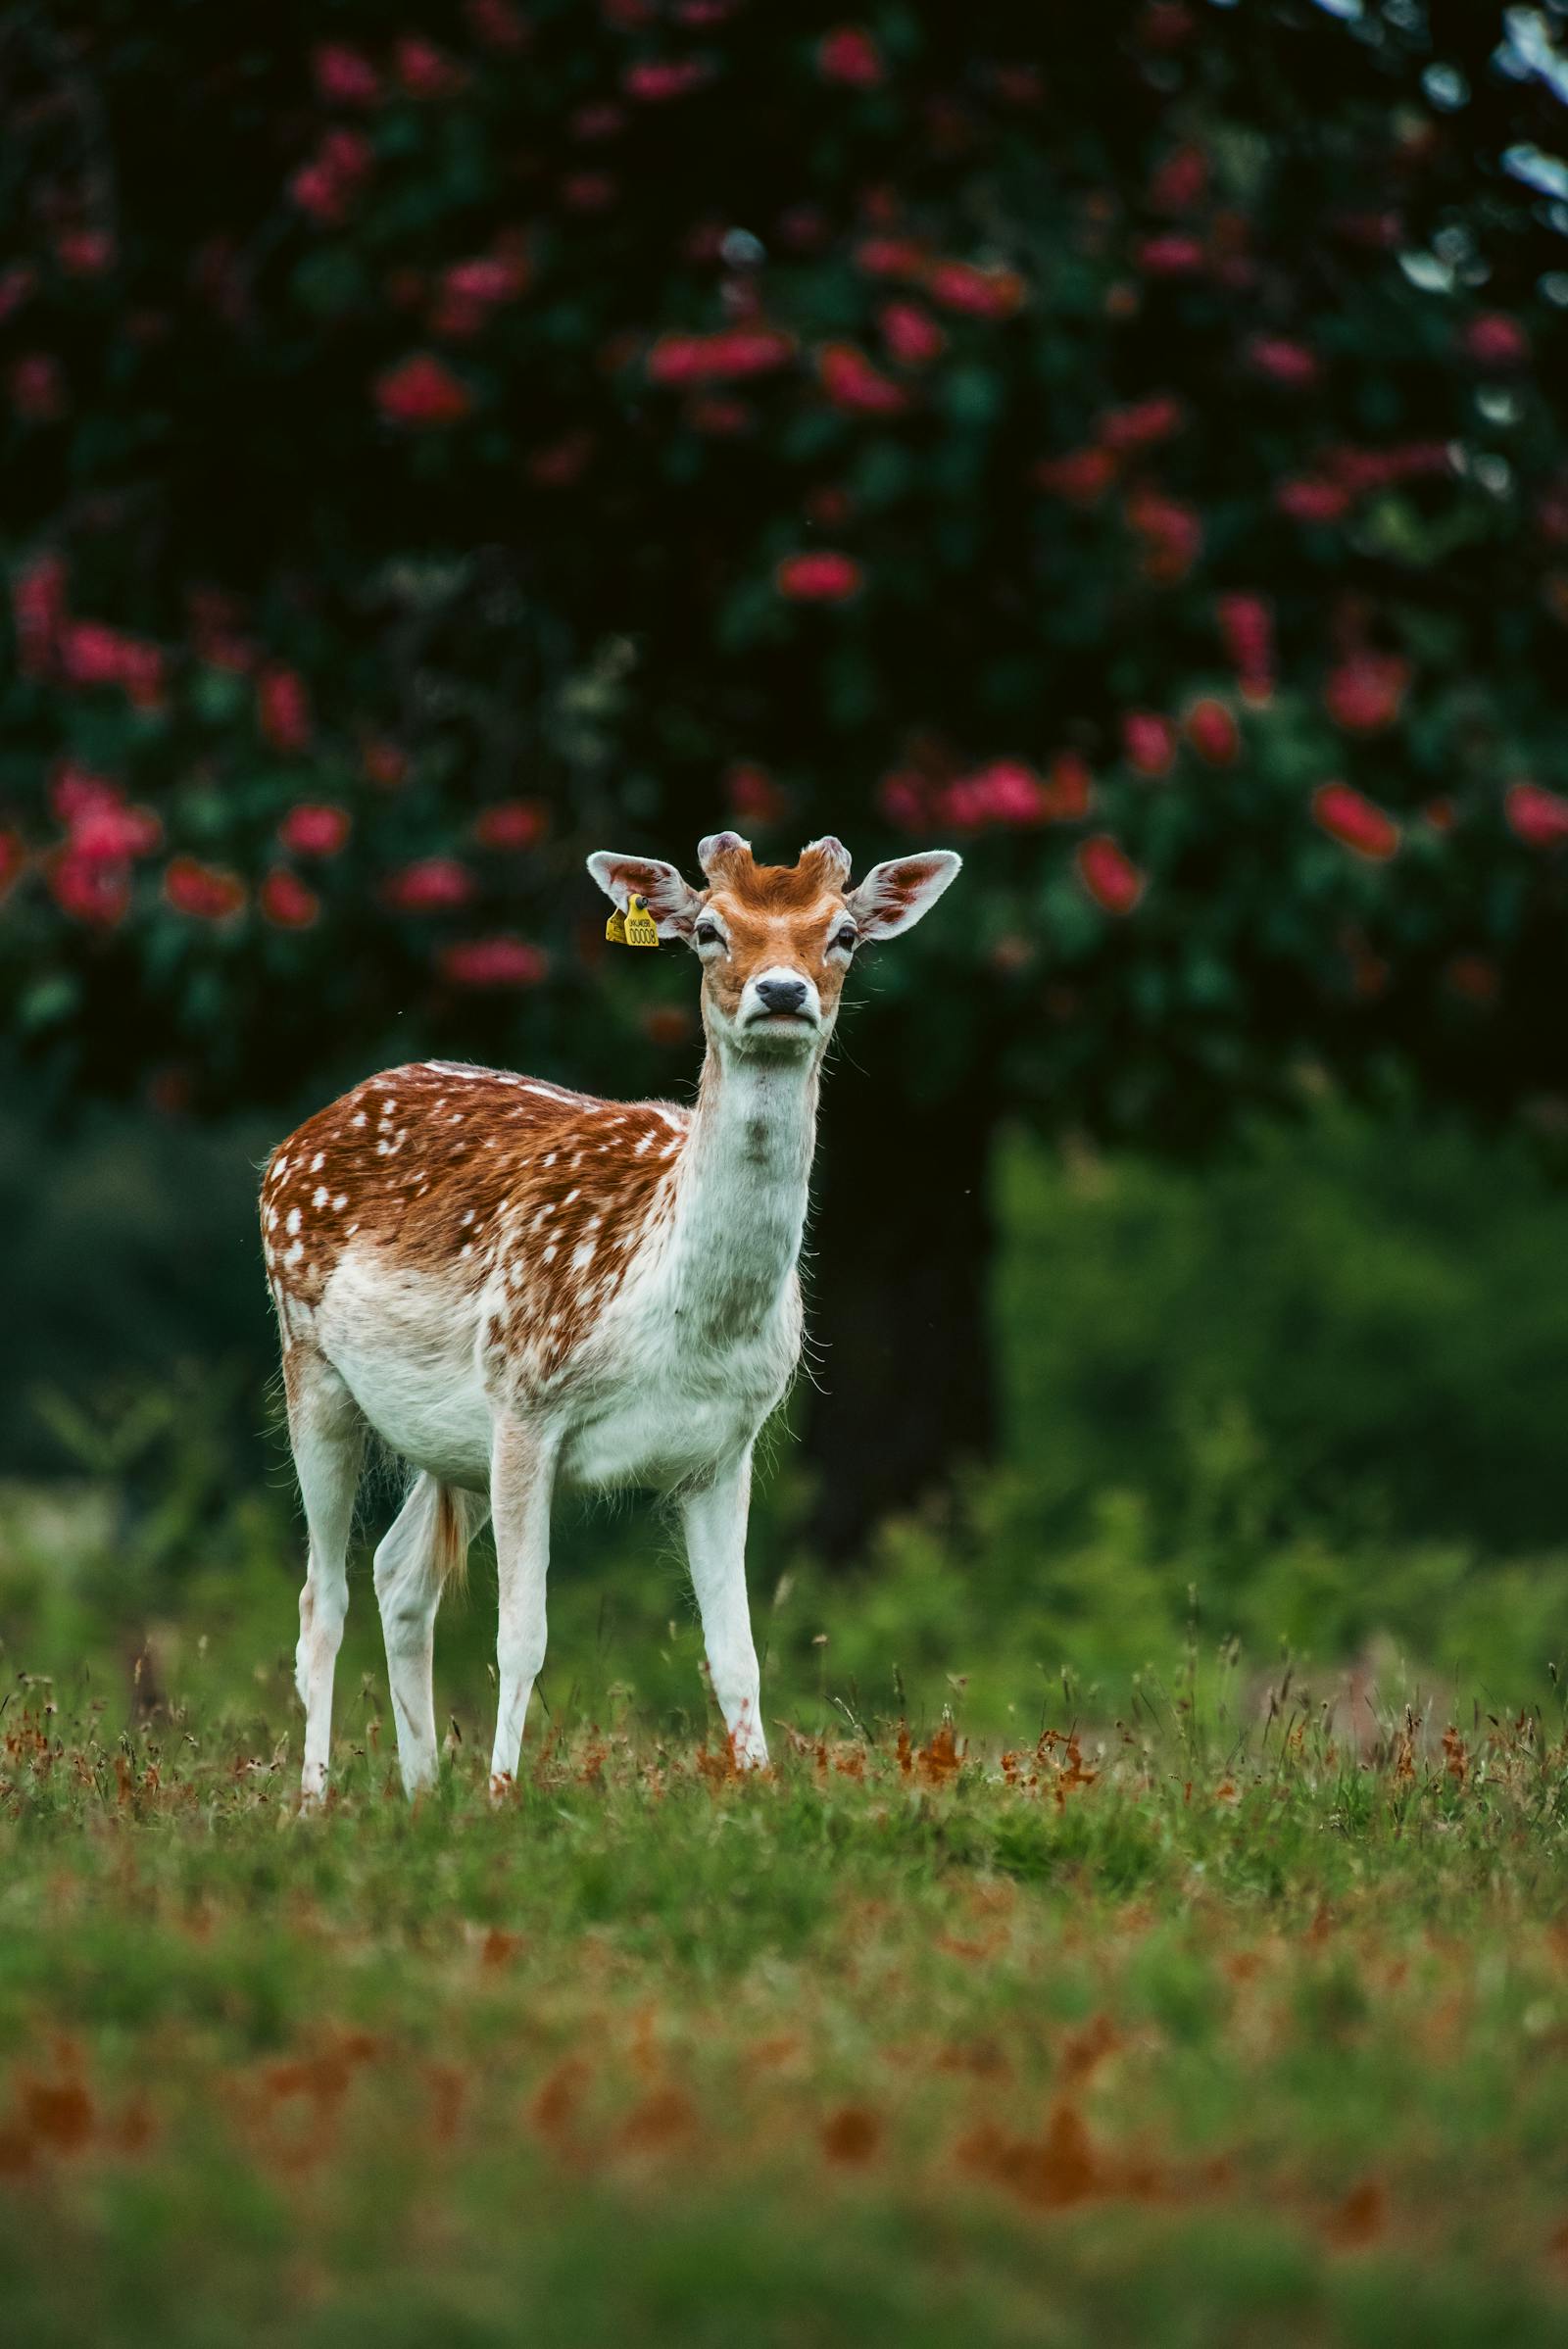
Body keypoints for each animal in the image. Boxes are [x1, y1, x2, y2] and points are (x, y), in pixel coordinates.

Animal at [260, 830, 960, 1803]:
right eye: (706, 930)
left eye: (846, 934)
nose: (783, 992)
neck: (674, 1317)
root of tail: (290, 1144)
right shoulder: (525, 1397)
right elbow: (522, 1635)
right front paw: (504, 1797)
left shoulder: (725, 1445)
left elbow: (737, 1651)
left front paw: (760, 1791)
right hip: (311, 1356)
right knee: (319, 1599)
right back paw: (316, 1799)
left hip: (448, 1439)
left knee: (399, 1574)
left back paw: (422, 1793)